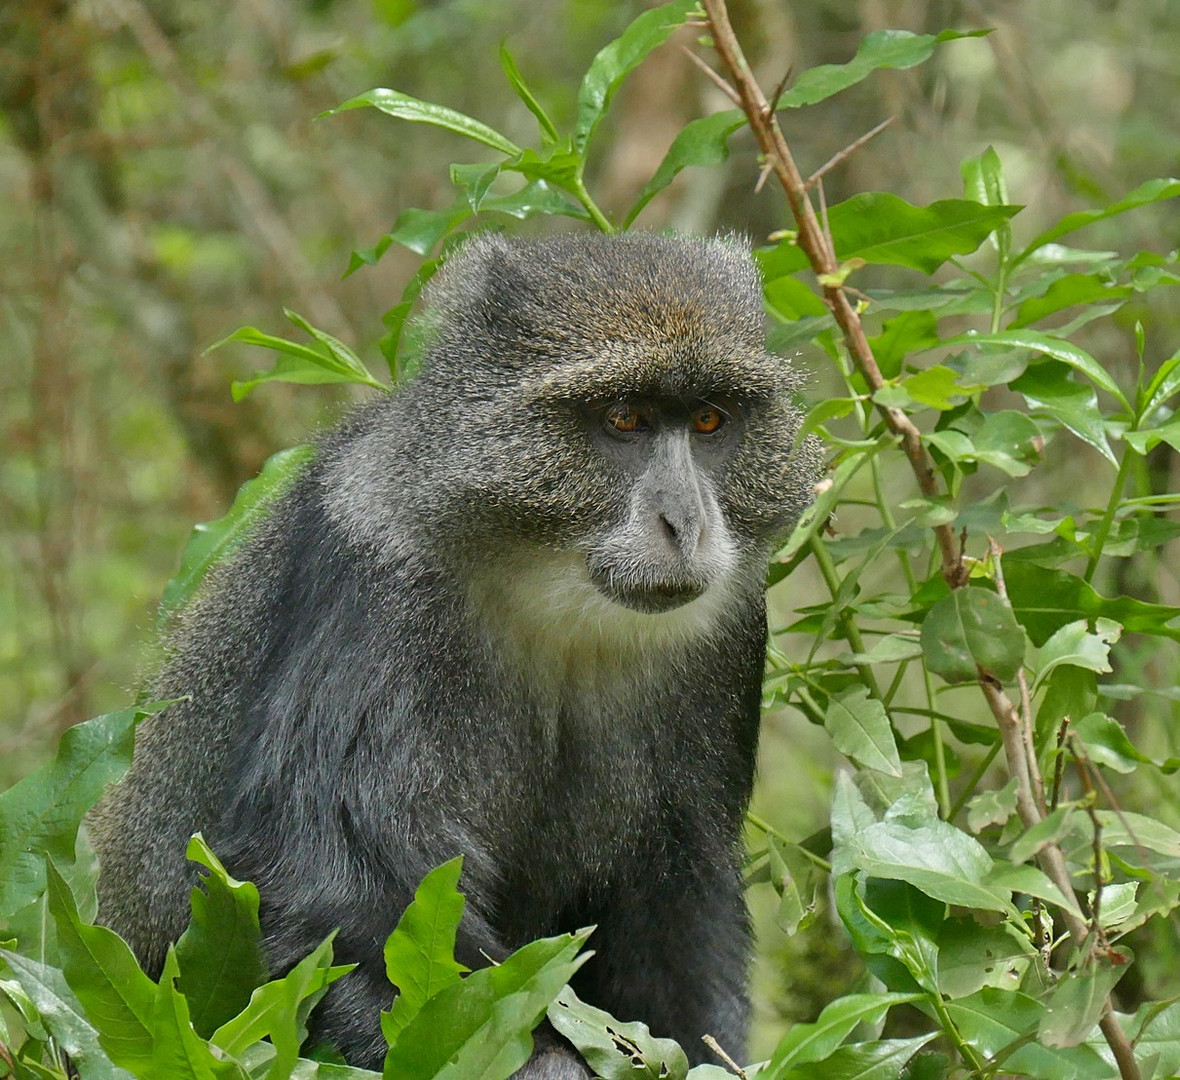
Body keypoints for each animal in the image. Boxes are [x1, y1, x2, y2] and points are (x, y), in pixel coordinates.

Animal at [88, 231, 820, 1074]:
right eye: (625, 418)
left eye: (708, 420)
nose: (686, 524)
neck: (547, 589)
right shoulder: (381, 583)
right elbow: (339, 895)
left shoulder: (731, 632)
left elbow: (678, 909)